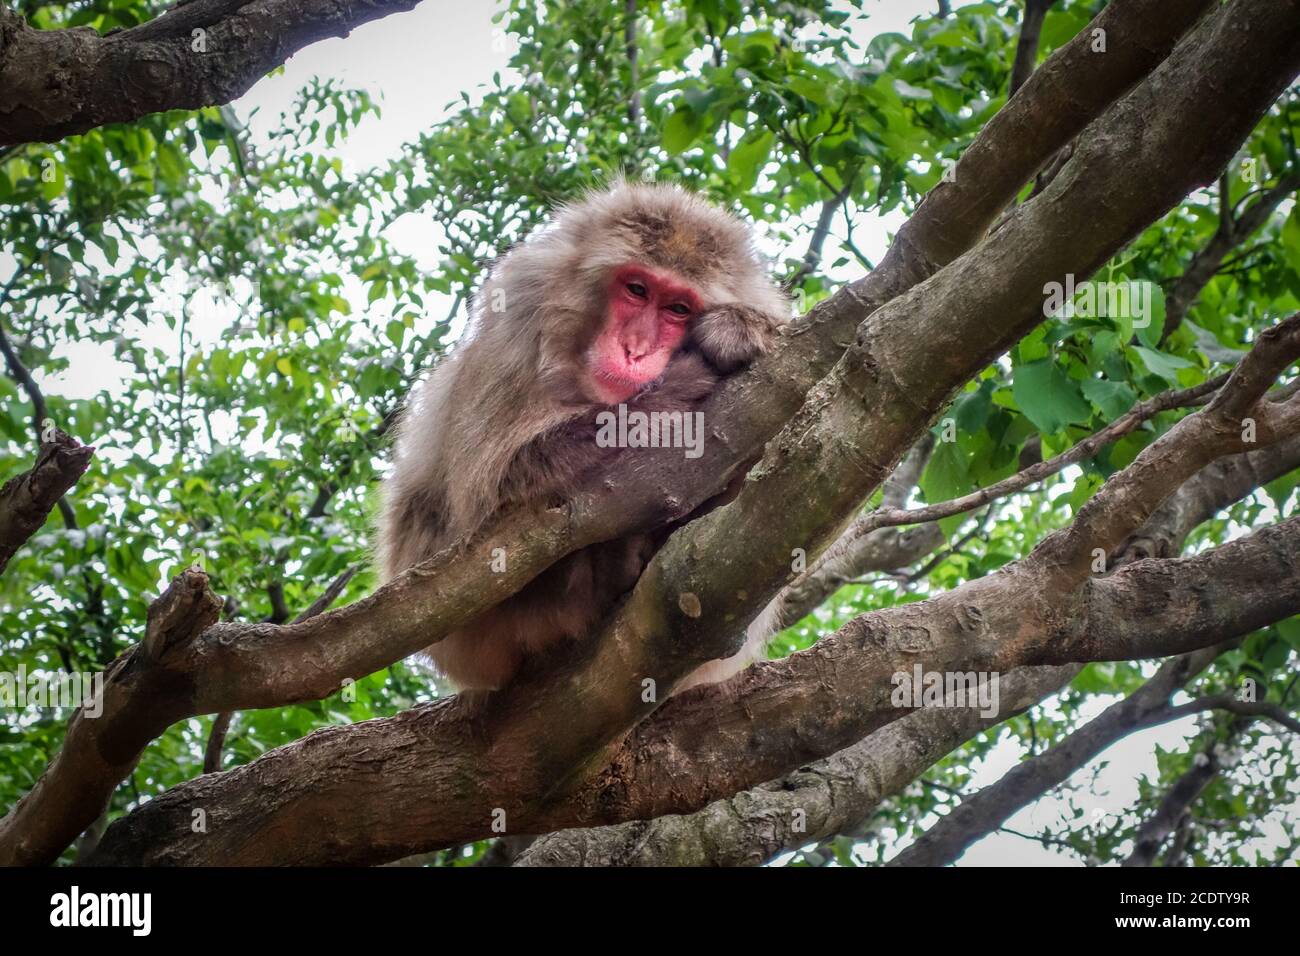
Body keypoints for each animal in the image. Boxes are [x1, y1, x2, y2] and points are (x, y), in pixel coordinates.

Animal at [376, 181, 789, 694]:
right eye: (637, 289)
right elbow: (494, 491)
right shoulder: (521, 314)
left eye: (678, 308)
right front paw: (675, 387)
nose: (635, 350)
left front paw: (740, 329)